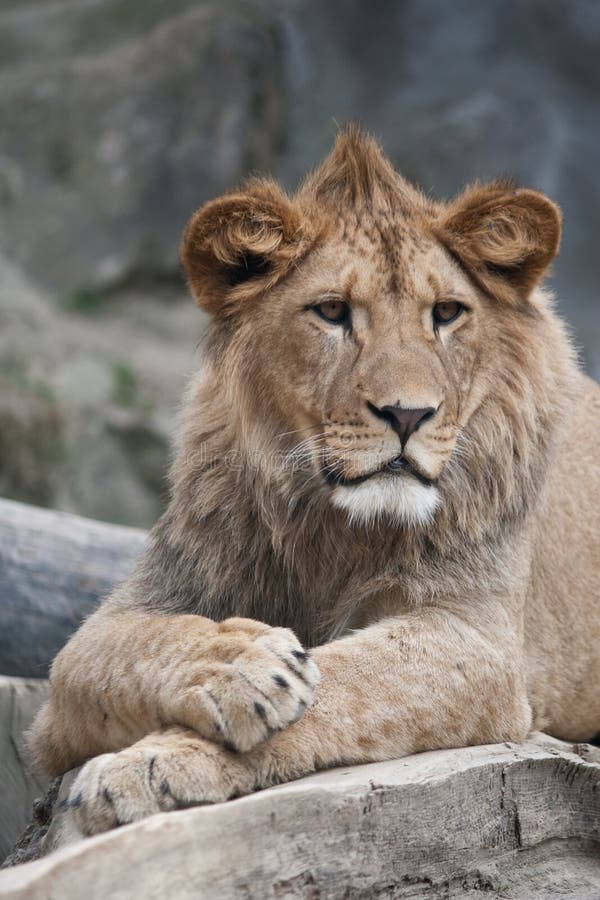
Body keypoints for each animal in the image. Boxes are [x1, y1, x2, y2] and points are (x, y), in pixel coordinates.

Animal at [29, 127, 600, 835]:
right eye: (331, 311)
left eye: (446, 312)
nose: (408, 414)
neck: (334, 525)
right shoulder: (112, 636)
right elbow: (113, 653)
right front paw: (242, 666)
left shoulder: (479, 643)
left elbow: (345, 684)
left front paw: (150, 764)